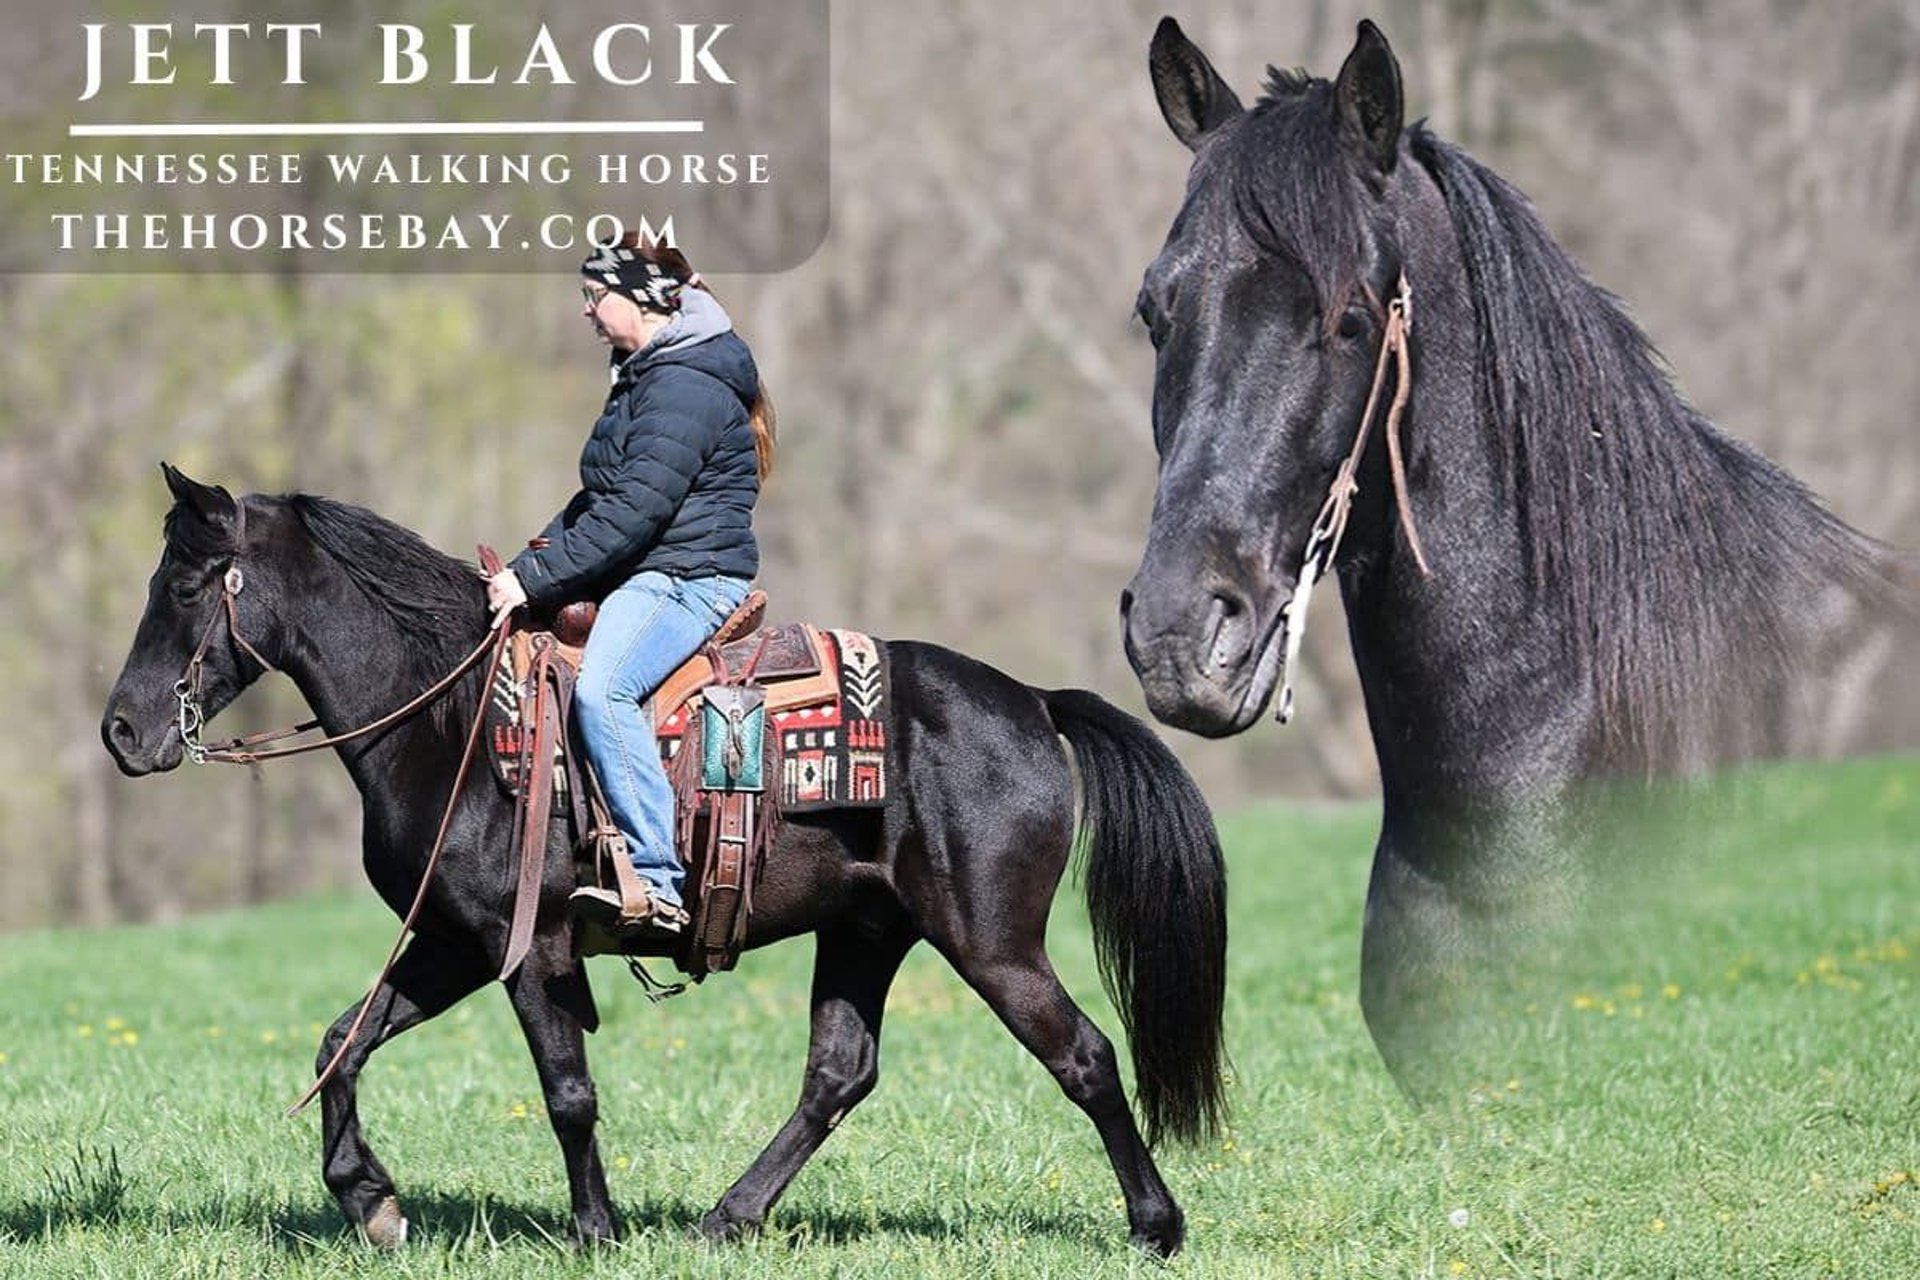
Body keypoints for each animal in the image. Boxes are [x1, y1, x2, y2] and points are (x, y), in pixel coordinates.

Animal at [99, 465, 1226, 1257]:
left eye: (189, 584)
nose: (122, 732)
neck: (450, 717)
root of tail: (1033, 700)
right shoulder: (457, 940)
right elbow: (343, 1042)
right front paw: (369, 1199)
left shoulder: (531, 945)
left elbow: (567, 1090)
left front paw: (594, 1230)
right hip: (868, 932)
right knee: (839, 1074)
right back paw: (728, 1217)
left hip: (992, 940)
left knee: (1085, 1056)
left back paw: (1155, 1225)